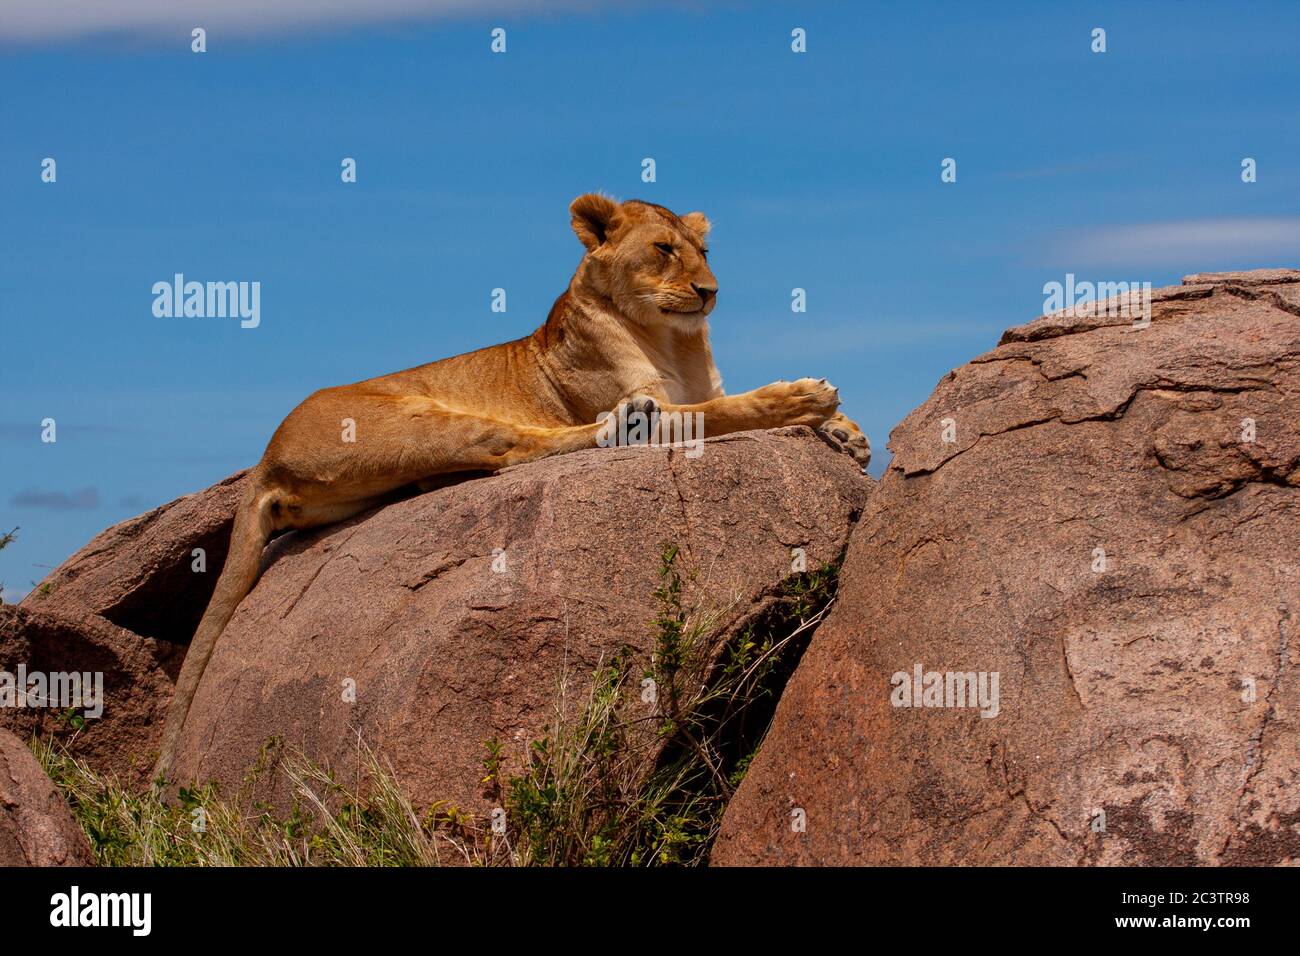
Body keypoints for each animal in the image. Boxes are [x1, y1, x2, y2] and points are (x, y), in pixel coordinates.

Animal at [151, 193, 871, 782]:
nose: (709, 290)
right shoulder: (669, 404)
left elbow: (734, 400)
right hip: (427, 417)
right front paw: (804, 397)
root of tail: (265, 456)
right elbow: (726, 408)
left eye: (704, 251)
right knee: (520, 446)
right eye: (664, 250)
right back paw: (620, 426)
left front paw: (851, 435)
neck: (674, 340)